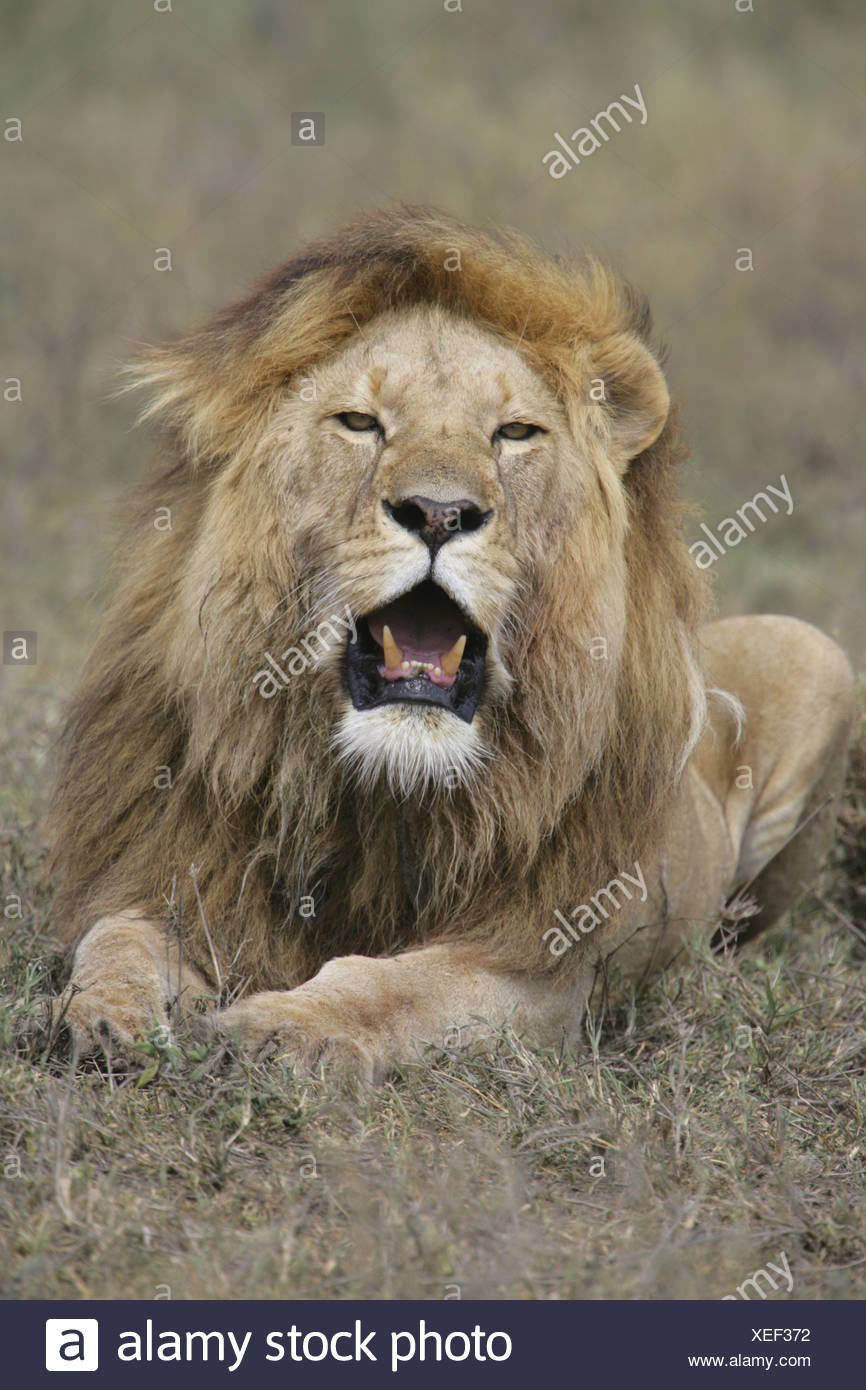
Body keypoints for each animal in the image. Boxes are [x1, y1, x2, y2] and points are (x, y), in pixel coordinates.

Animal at [45, 206, 855, 1079]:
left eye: (515, 433)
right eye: (360, 423)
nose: (439, 512)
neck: (381, 791)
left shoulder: (538, 966)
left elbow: (393, 986)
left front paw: (282, 1029)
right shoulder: (169, 869)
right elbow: (117, 937)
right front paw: (106, 1016)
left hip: (819, 659)